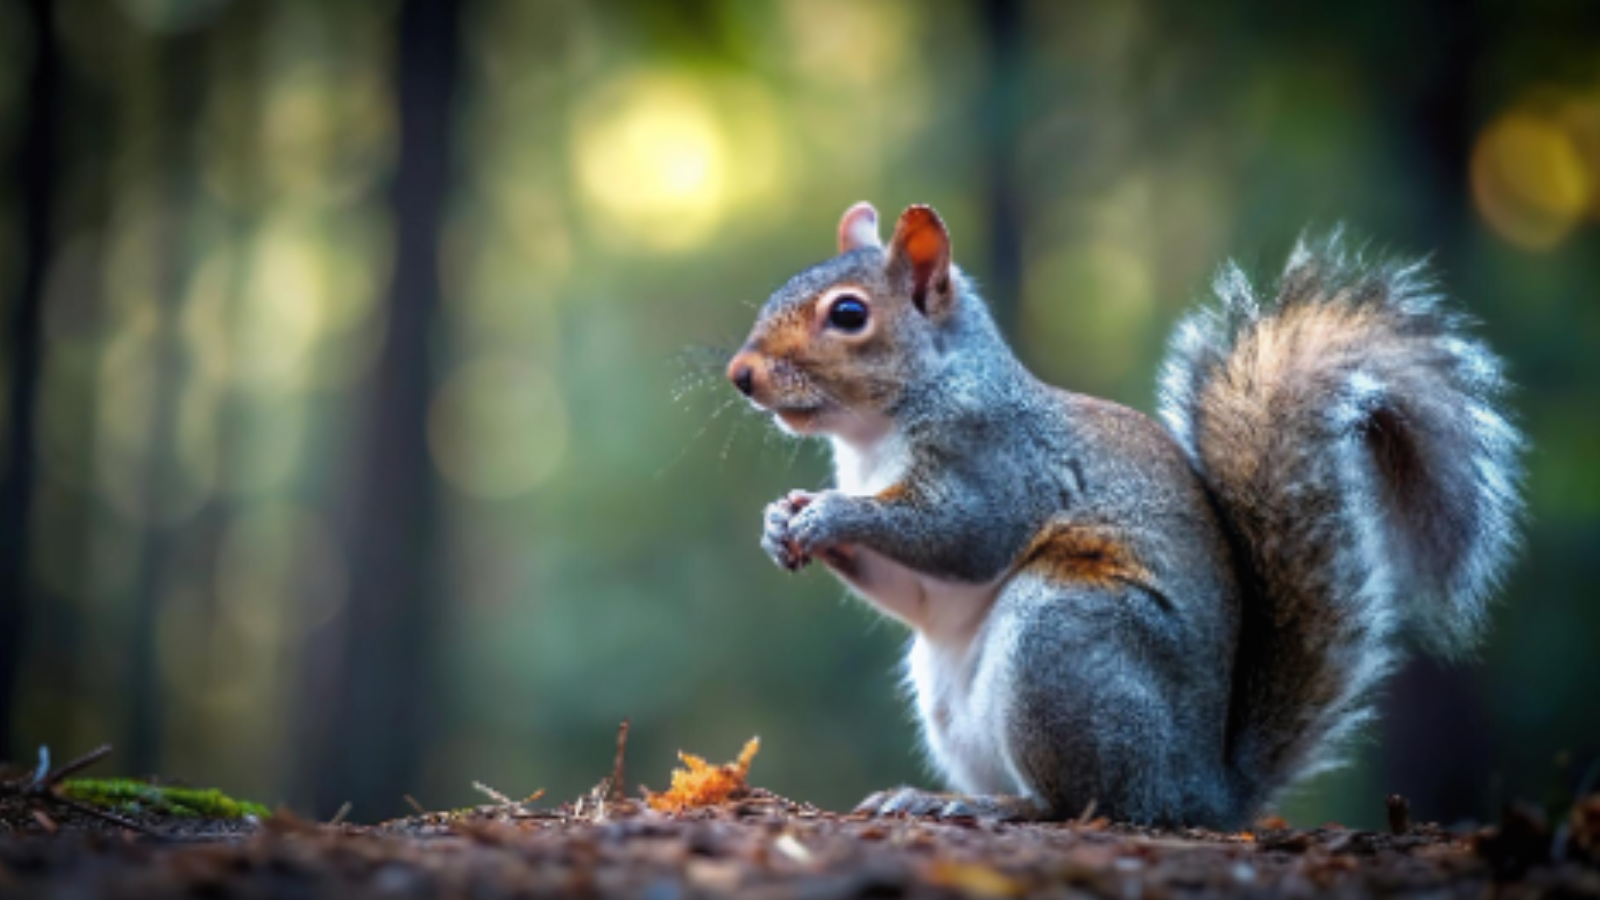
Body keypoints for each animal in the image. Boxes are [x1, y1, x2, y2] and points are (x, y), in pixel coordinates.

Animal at [725, 202, 1524, 827]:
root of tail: (1202, 792)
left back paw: (993, 806)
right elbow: (914, 593)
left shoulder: (997, 463)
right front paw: (778, 522)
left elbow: (963, 539)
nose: (741, 375)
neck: (874, 434)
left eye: (849, 314)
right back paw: (925, 797)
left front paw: (830, 516)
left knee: (1086, 802)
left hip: (1065, 639)